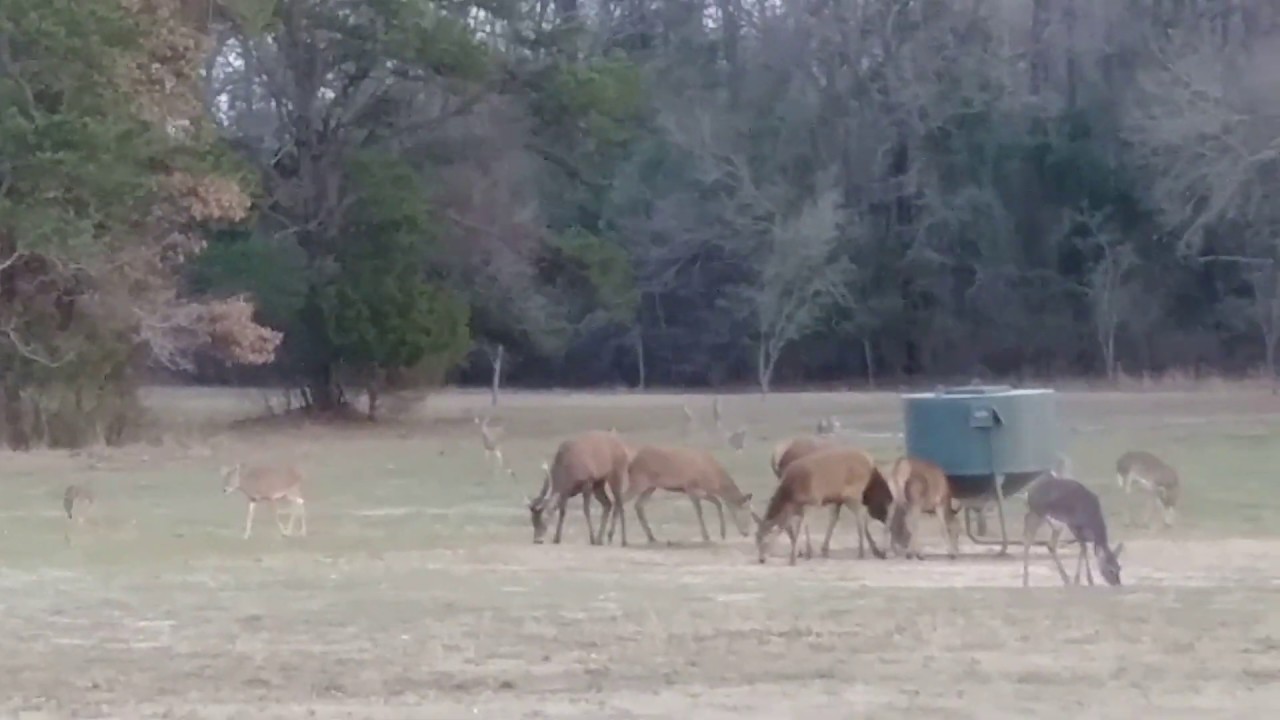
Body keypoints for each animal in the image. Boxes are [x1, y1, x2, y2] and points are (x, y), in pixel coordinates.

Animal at [618, 445, 754, 545]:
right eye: (745, 510)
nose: (746, 533)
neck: (715, 481)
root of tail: (631, 463)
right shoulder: (691, 487)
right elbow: (700, 511)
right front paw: (706, 536)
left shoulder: (703, 491)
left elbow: (718, 503)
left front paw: (722, 533)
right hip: (638, 481)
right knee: (619, 500)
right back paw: (623, 539)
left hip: (650, 486)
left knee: (638, 505)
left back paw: (651, 537)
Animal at [756, 446, 893, 565]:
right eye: (756, 539)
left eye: (766, 541)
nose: (761, 559)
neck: (791, 494)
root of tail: (871, 463)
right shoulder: (796, 509)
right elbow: (798, 527)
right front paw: (807, 553)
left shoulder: (813, 502)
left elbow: (801, 528)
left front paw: (793, 559)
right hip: (843, 497)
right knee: (847, 517)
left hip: (854, 493)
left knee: (860, 516)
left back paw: (862, 552)